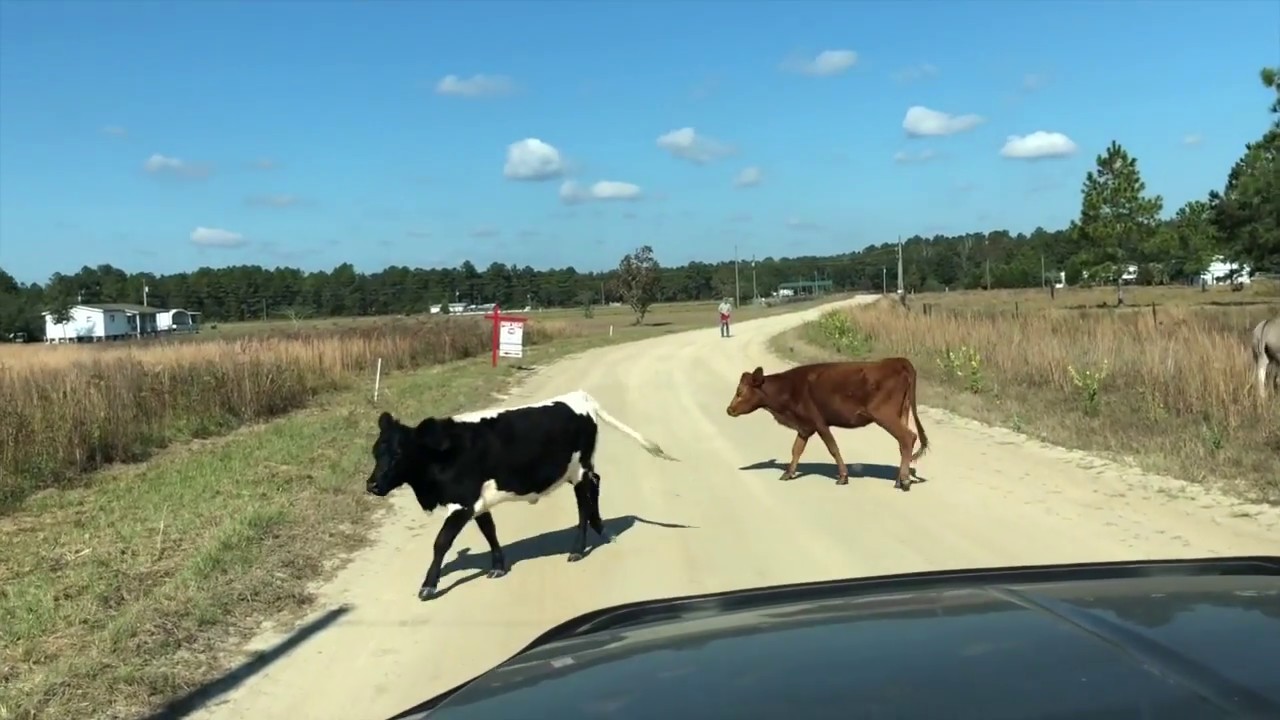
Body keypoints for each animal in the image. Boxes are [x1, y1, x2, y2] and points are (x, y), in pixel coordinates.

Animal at [367, 389, 677, 601]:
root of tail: (580, 396)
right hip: (582, 469)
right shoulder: (479, 502)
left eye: (398, 453)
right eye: (374, 451)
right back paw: (603, 531)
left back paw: (578, 549)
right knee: (596, 487)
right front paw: (498, 566)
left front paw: (428, 585)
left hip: (578, 468)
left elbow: (441, 542)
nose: (371, 486)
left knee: (583, 504)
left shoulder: (462, 503)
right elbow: (489, 531)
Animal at [725, 358, 929, 492]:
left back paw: (904, 481)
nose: (729, 409)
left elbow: (833, 448)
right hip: (902, 413)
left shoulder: (819, 422)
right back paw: (899, 479)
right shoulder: (805, 426)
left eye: (740, 392)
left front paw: (843, 476)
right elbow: (796, 449)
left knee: (908, 437)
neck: (789, 388)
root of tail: (896, 361)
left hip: (884, 414)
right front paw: (788, 473)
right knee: (903, 443)